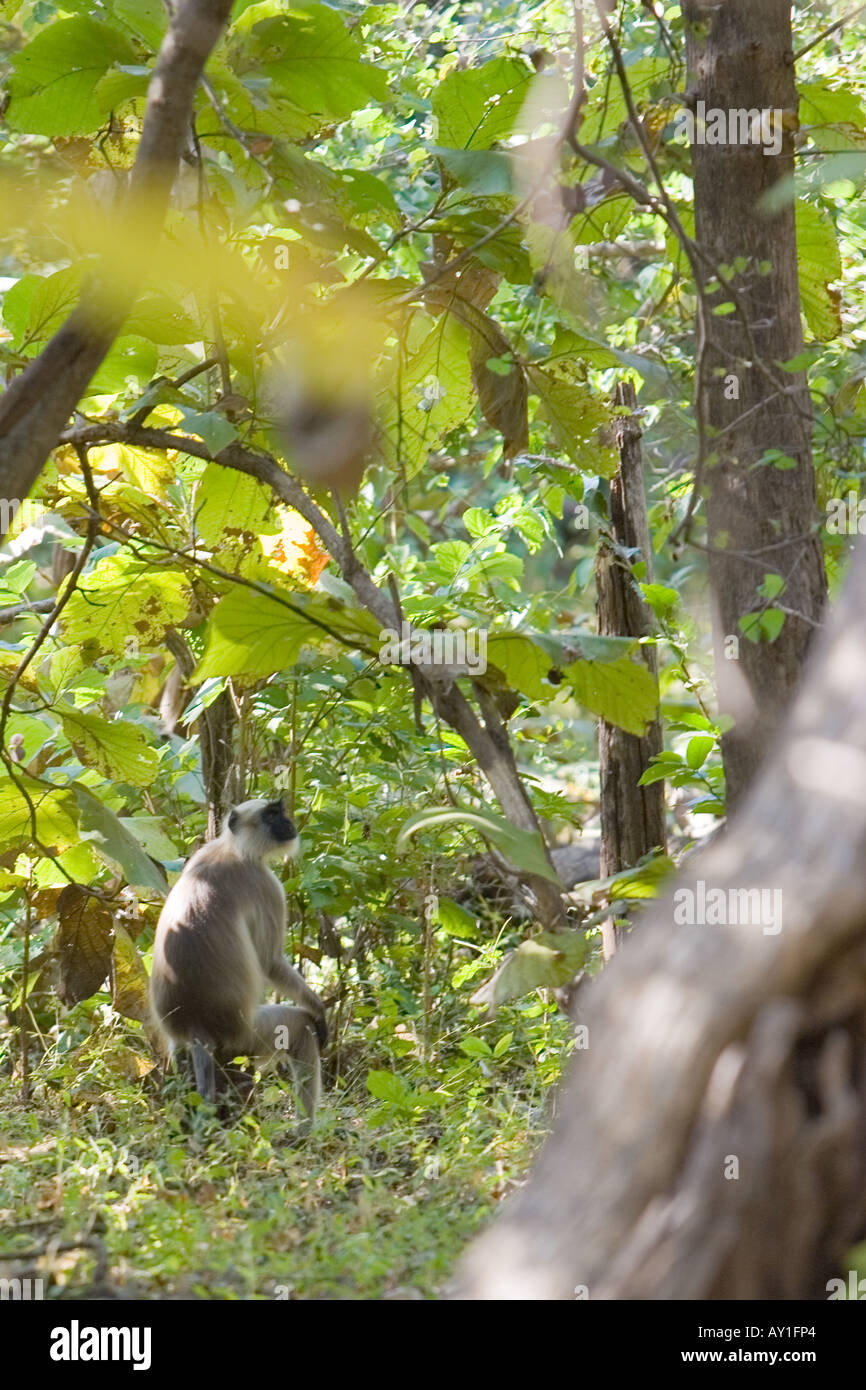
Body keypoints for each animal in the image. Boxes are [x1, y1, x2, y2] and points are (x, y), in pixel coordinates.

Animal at [150, 797, 327, 1132]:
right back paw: (306, 1132)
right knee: (301, 1028)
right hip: (246, 1033)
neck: (232, 849)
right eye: (271, 815)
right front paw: (319, 1009)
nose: (288, 823)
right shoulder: (265, 884)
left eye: (279, 811)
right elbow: (270, 963)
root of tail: (196, 1025)